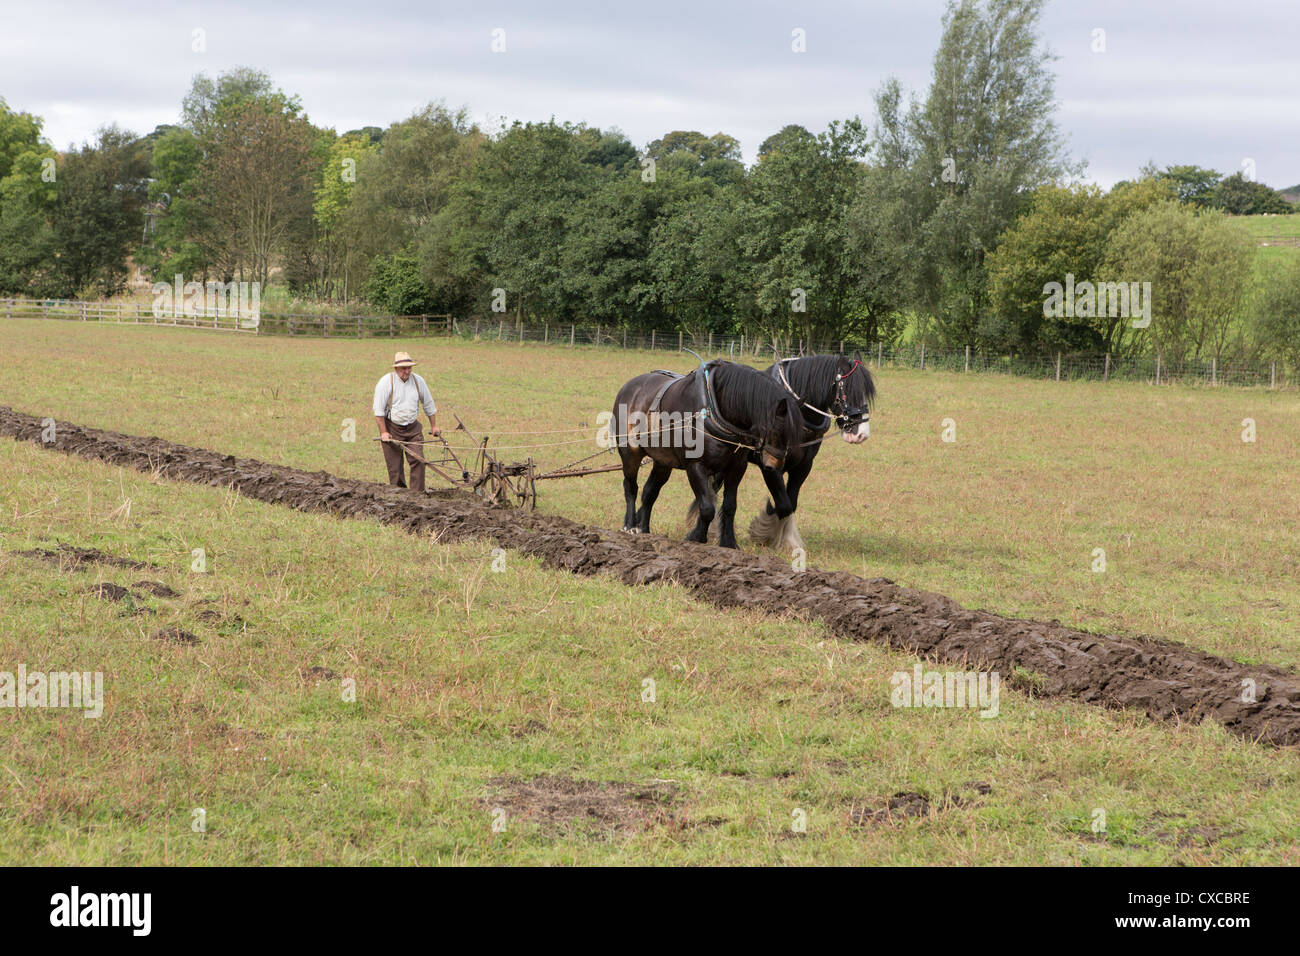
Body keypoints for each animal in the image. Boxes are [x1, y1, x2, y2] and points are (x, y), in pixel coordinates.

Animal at [611, 360, 802, 549]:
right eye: (776, 429)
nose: (775, 465)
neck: (712, 411)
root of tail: (628, 387)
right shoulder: (696, 466)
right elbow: (707, 507)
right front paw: (696, 537)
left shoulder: (737, 468)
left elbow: (730, 506)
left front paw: (729, 542)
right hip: (630, 453)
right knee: (631, 488)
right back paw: (629, 526)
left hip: (662, 462)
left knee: (649, 492)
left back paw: (644, 530)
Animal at [688, 351, 876, 550]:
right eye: (849, 390)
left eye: (866, 393)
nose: (861, 434)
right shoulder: (770, 465)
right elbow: (784, 504)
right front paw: (765, 531)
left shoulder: (803, 467)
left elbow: (791, 503)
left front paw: (784, 538)